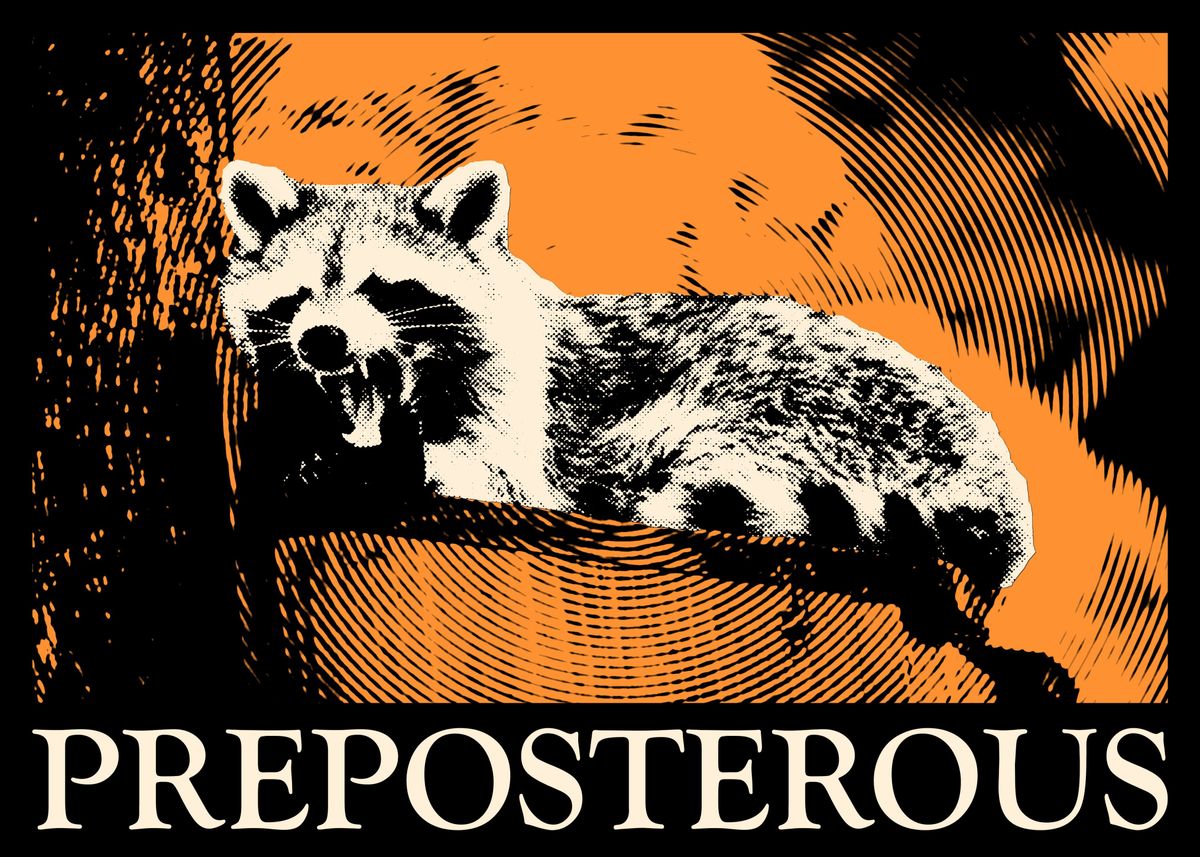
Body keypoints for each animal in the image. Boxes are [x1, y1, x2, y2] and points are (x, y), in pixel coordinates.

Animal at [219, 159, 1034, 588]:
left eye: (382, 290)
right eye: (299, 297)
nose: (323, 341)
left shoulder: (529, 421)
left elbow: (503, 479)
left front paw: (390, 466)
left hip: (795, 400)